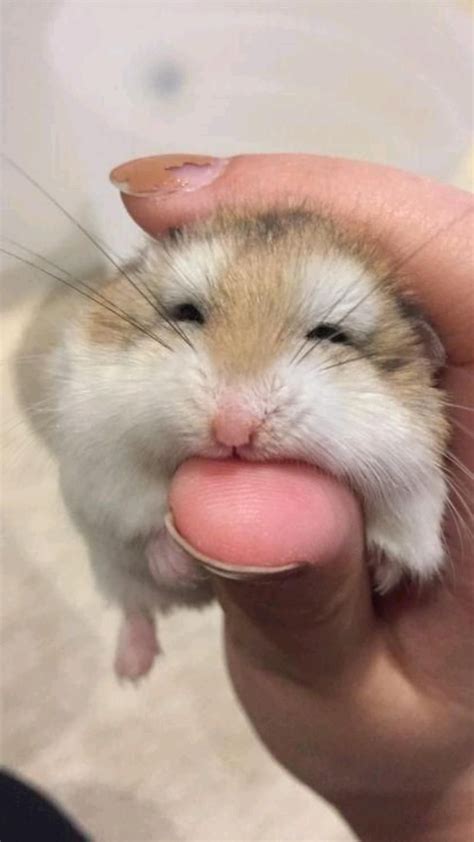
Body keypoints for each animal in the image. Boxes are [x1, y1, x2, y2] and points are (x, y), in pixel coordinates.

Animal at [16, 207, 449, 680]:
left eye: (330, 335)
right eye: (187, 312)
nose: (234, 430)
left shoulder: (415, 491)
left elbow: (400, 540)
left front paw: (378, 569)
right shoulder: (103, 461)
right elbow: (143, 519)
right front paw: (179, 564)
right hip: (113, 572)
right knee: (137, 610)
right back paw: (131, 670)